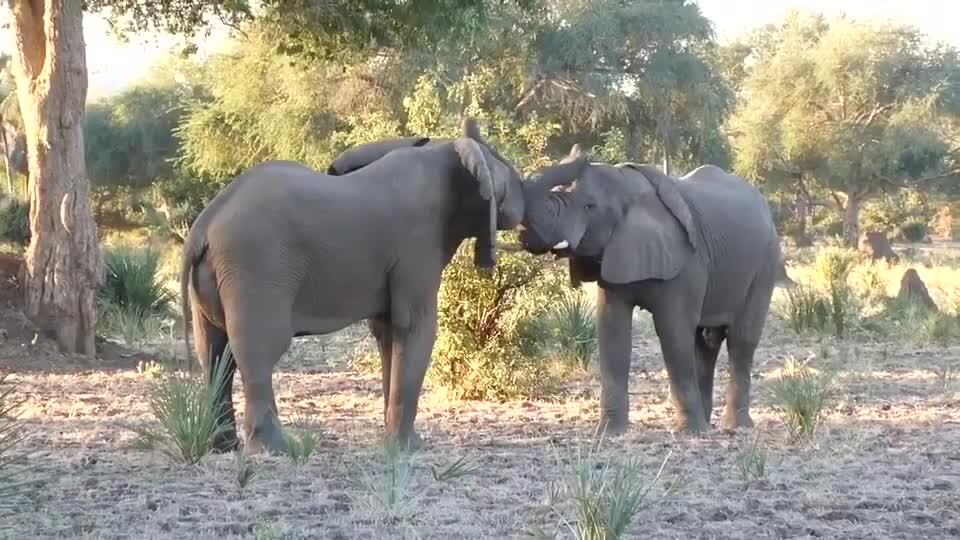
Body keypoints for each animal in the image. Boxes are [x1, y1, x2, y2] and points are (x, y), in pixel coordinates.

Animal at [179, 118, 526, 453]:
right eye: (505, 164)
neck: (444, 151)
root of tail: (204, 224)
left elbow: (388, 331)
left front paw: (392, 444)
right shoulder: (417, 245)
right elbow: (415, 327)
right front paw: (409, 449)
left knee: (214, 354)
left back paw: (223, 447)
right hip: (255, 264)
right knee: (259, 350)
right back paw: (275, 450)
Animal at [518, 145, 793, 436]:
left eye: (589, 206)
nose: (581, 151)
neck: (628, 186)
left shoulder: (686, 262)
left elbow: (674, 334)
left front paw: (687, 432)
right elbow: (612, 333)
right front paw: (608, 432)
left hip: (766, 262)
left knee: (741, 341)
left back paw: (733, 427)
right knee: (705, 345)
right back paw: (707, 424)